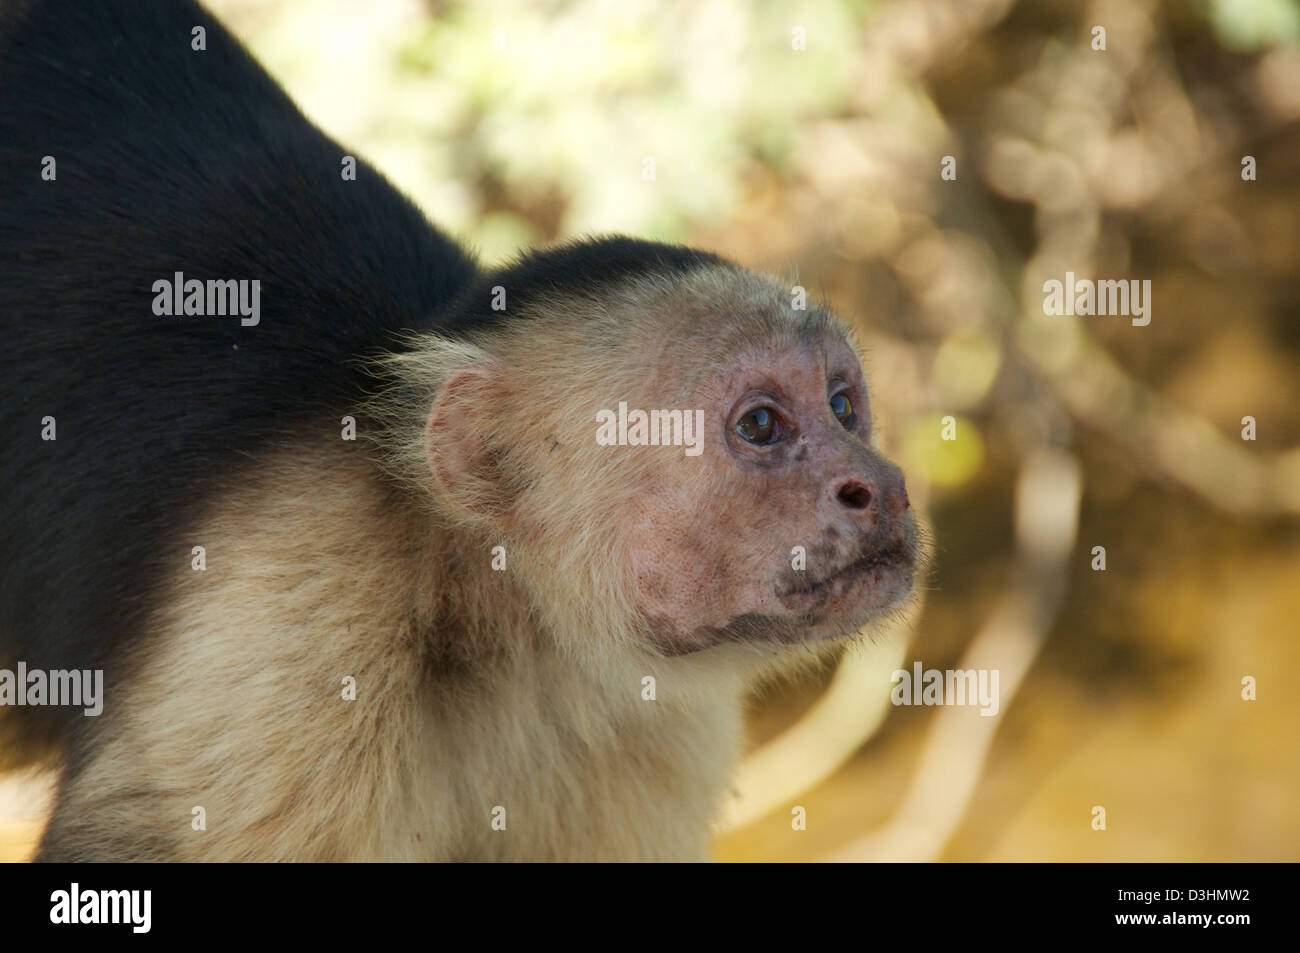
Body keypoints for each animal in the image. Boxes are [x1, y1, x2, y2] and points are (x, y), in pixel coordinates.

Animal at [0, 0, 918, 861]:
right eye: (761, 425)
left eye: (843, 406)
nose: (880, 485)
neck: (502, 612)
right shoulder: (291, 629)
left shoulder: (652, 732)